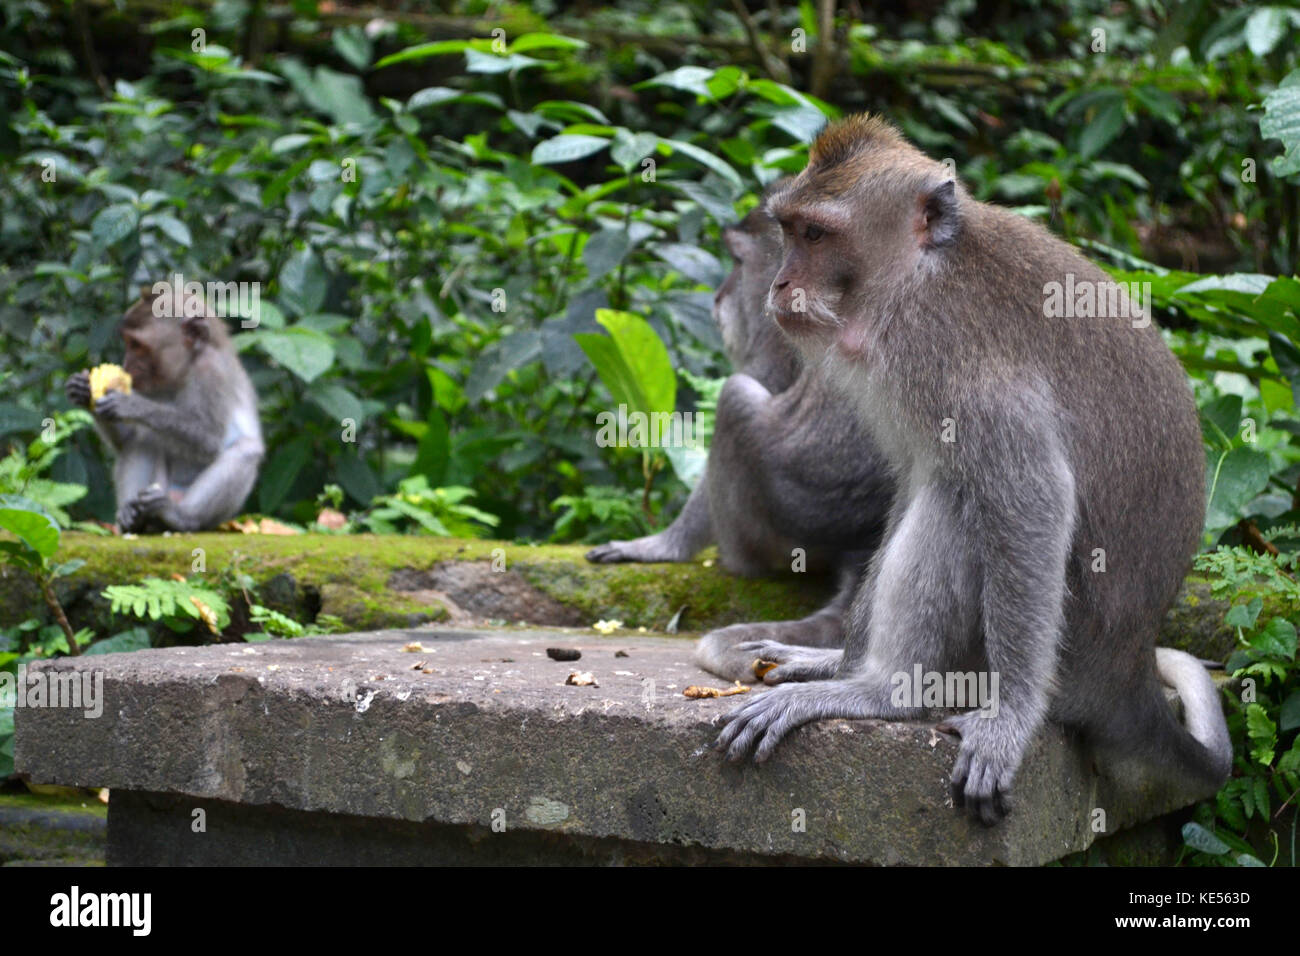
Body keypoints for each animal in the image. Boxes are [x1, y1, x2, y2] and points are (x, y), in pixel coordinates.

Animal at [65, 288, 264, 533]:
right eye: (128, 343)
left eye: (137, 345)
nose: (127, 364)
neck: (184, 371)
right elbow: (127, 440)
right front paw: (83, 390)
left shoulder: (211, 372)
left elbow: (209, 440)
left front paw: (132, 405)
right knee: (142, 441)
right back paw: (132, 519)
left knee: (246, 450)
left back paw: (179, 517)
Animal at [713, 115, 1232, 825]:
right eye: (788, 231)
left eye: (815, 235)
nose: (780, 285)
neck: (918, 276)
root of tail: (1125, 674)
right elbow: (914, 474)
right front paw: (836, 661)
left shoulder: (954, 359)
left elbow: (1030, 497)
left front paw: (1007, 720)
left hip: (1060, 655)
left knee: (963, 501)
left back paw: (885, 694)